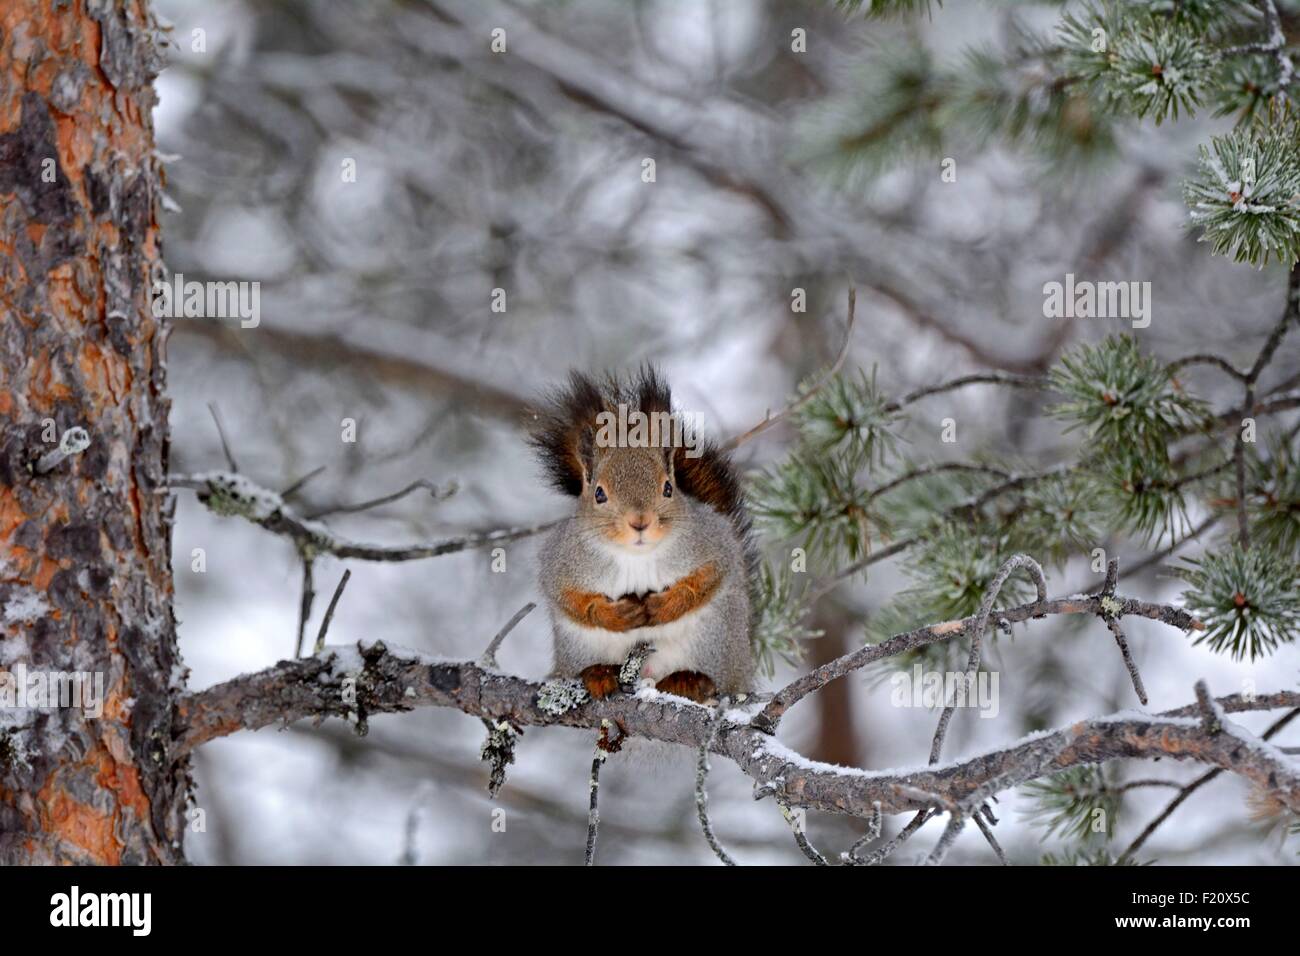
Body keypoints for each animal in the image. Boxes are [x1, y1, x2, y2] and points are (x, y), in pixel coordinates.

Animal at [530, 367, 756, 704]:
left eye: (668, 488)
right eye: (599, 494)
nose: (640, 522)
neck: (635, 555)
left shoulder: (714, 544)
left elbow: (706, 580)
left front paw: (665, 606)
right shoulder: (561, 563)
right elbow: (571, 600)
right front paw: (617, 615)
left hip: (716, 642)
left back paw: (689, 681)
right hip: (578, 648)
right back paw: (598, 674)